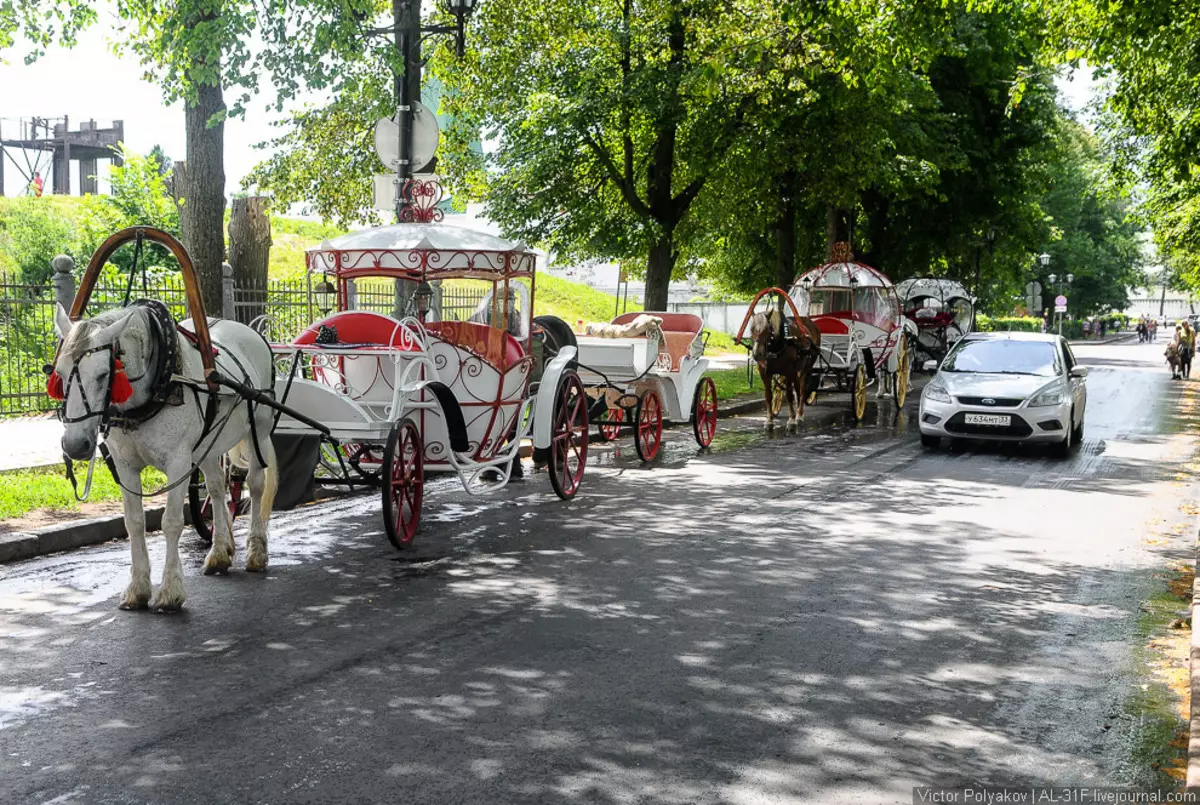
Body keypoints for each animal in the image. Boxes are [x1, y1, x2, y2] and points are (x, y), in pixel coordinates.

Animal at [52, 302, 277, 611]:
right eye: (60, 374)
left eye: (102, 375)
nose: (75, 445)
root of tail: (249, 330)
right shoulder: (125, 466)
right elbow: (134, 523)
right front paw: (137, 589)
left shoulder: (178, 462)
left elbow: (171, 522)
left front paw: (170, 591)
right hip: (208, 443)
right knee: (217, 488)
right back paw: (220, 551)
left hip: (260, 432)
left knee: (256, 485)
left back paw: (256, 551)